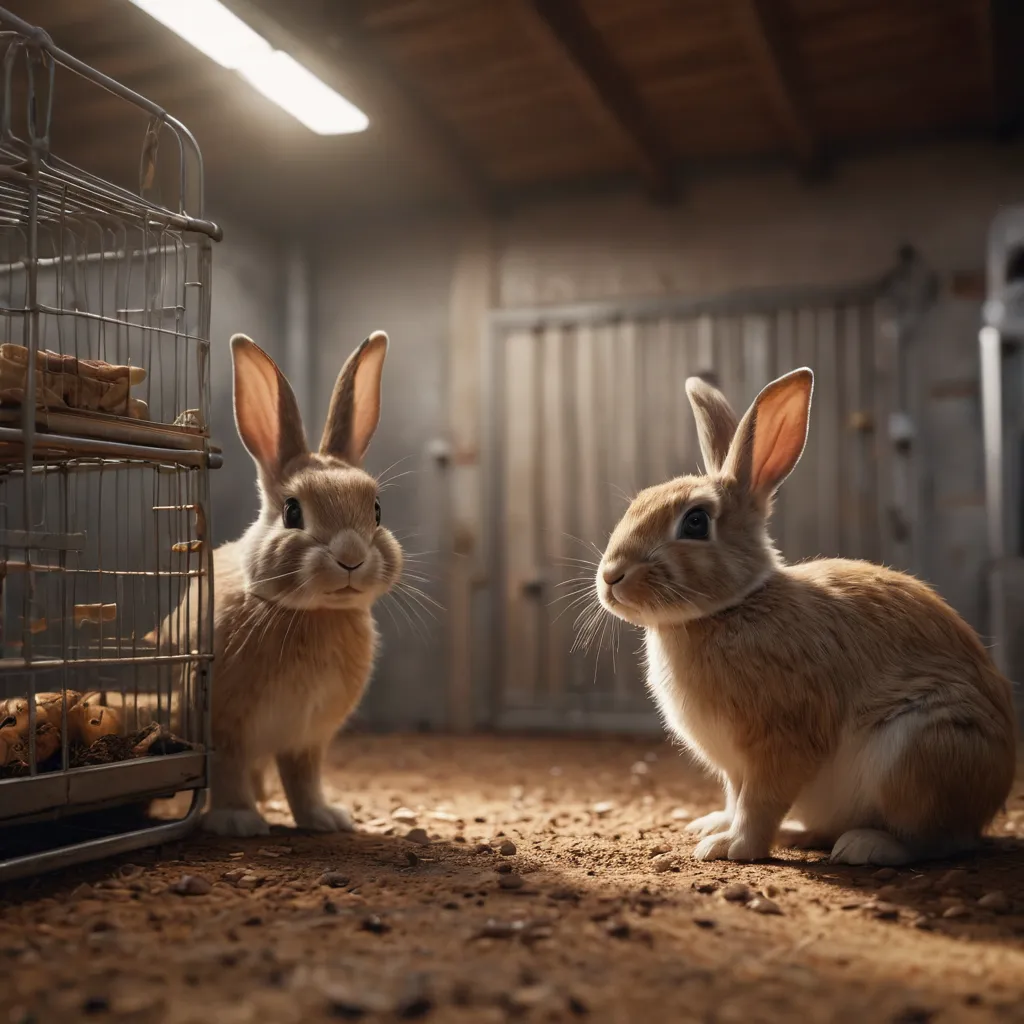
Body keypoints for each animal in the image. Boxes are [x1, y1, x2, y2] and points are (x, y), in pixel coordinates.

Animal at [155, 331, 403, 838]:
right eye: (292, 512)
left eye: (376, 511)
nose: (351, 558)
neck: (311, 614)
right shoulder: (224, 728)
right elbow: (228, 771)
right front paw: (237, 821)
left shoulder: (306, 739)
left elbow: (302, 778)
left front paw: (324, 818)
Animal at [595, 366, 1017, 866]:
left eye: (696, 522)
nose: (611, 576)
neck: (731, 607)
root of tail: (991, 797)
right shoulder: (736, 768)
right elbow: (736, 797)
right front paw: (714, 826)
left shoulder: (782, 742)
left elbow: (759, 802)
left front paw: (730, 846)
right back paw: (798, 833)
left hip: (919, 754)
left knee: (937, 839)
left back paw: (865, 845)